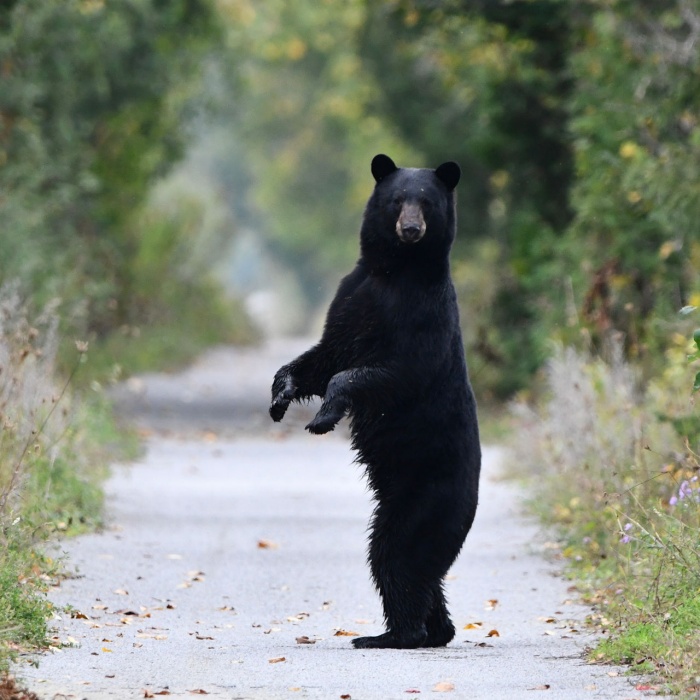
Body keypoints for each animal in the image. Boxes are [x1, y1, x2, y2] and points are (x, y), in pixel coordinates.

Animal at [269, 154, 481, 649]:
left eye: (426, 201)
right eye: (396, 199)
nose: (411, 228)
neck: (395, 270)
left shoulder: (422, 314)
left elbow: (390, 370)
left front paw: (323, 417)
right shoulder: (352, 295)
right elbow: (324, 356)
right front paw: (281, 394)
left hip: (426, 499)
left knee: (398, 557)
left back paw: (393, 634)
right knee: (418, 571)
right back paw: (435, 629)